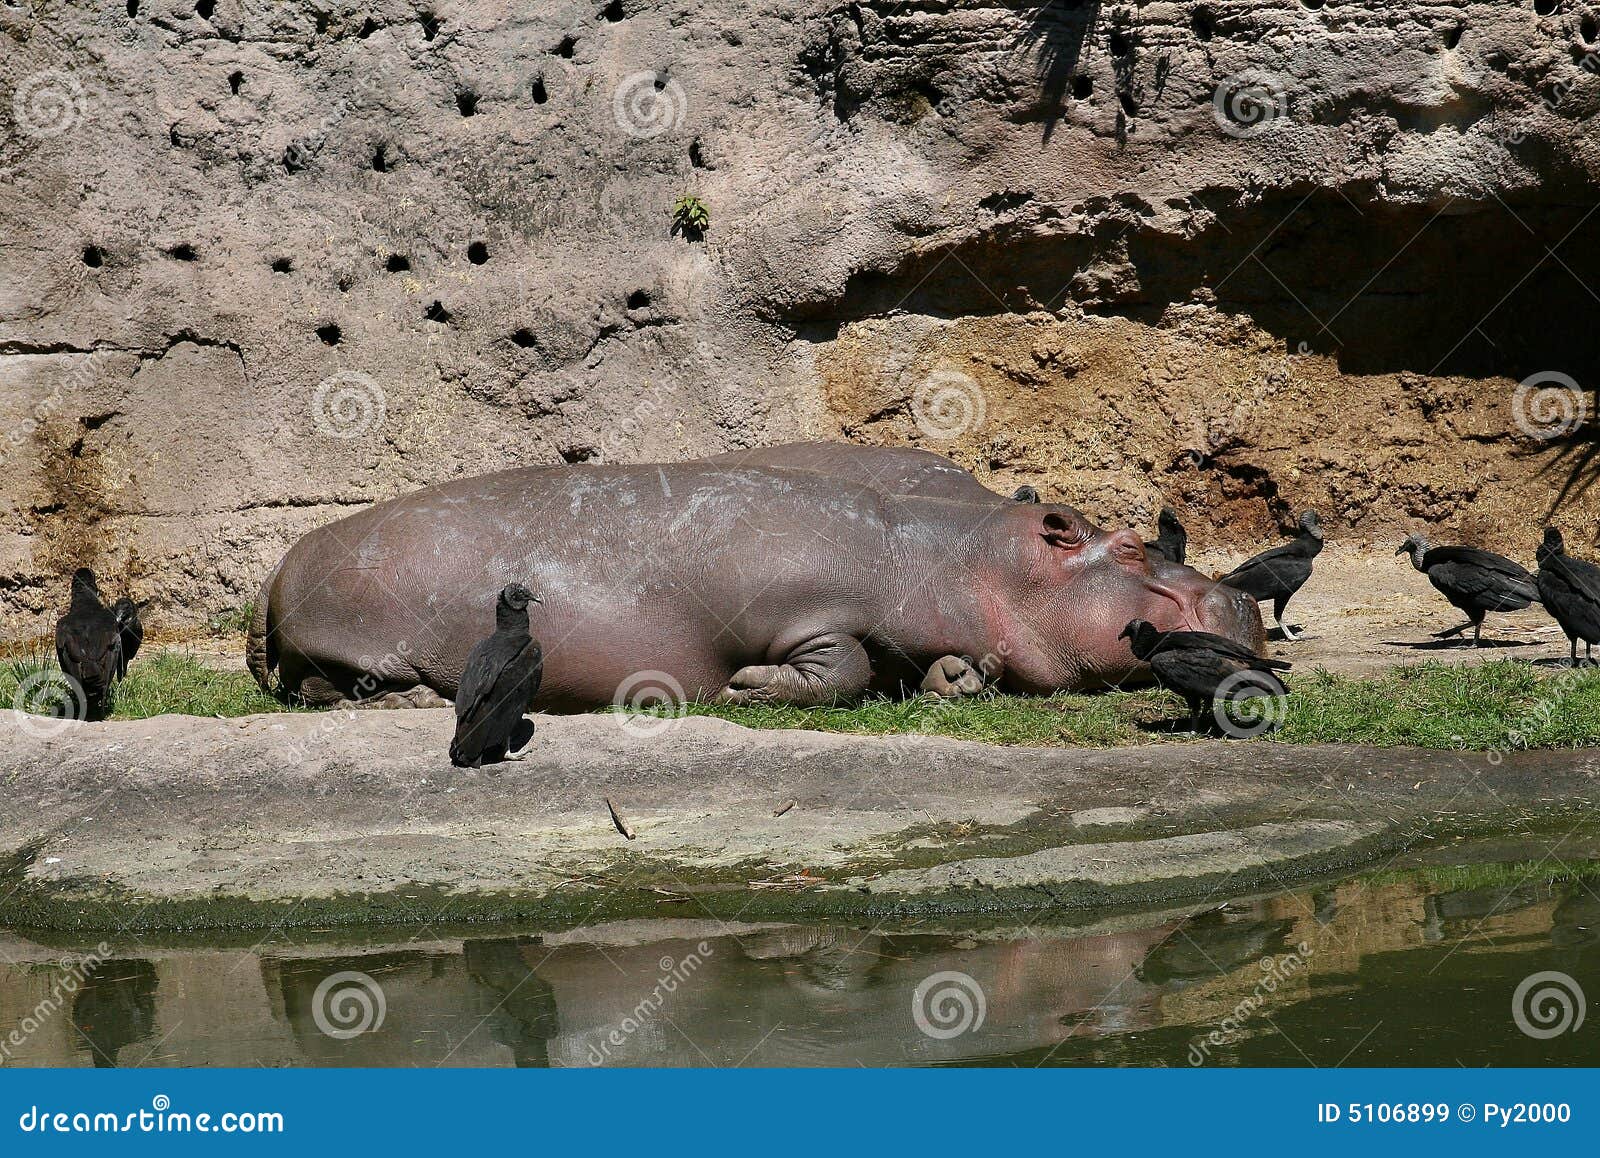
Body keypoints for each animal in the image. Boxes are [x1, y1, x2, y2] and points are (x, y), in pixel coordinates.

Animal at [246, 443, 1263, 709]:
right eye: (1132, 545)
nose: (1244, 600)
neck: (959, 555)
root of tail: (279, 564)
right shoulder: (813, 611)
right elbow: (843, 666)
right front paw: (747, 684)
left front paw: (950, 679)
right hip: (352, 640)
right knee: (326, 686)